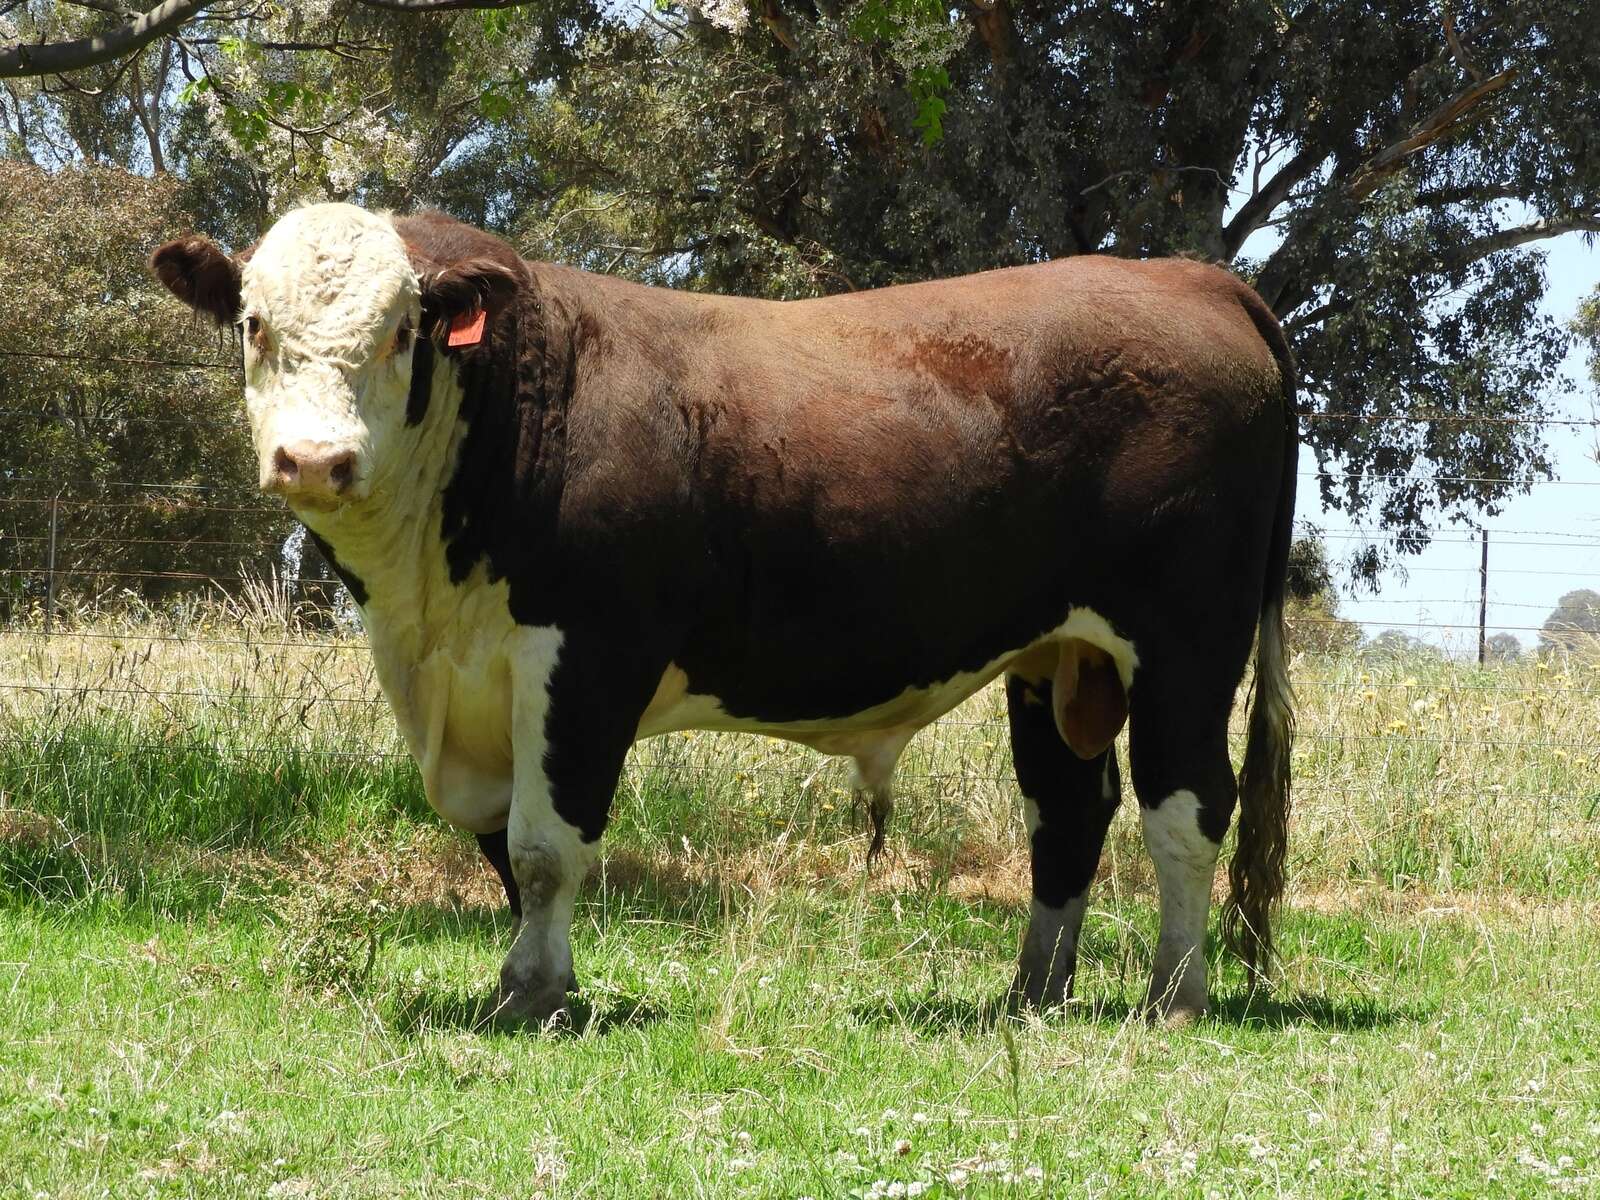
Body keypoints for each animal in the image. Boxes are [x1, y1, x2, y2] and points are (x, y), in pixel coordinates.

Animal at [152, 203, 1296, 1026]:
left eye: (402, 332)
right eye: (254, 325)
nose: (314, 459)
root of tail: (1189, 275)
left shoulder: (587, 658)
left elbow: (545, 844)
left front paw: (532, 992)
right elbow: (502, 850)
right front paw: (544, 980)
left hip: (1188, 642)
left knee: (1186, 807)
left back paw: (1173, 995)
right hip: (1056, 653)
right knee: (1065, 811)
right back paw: (1033, 993)